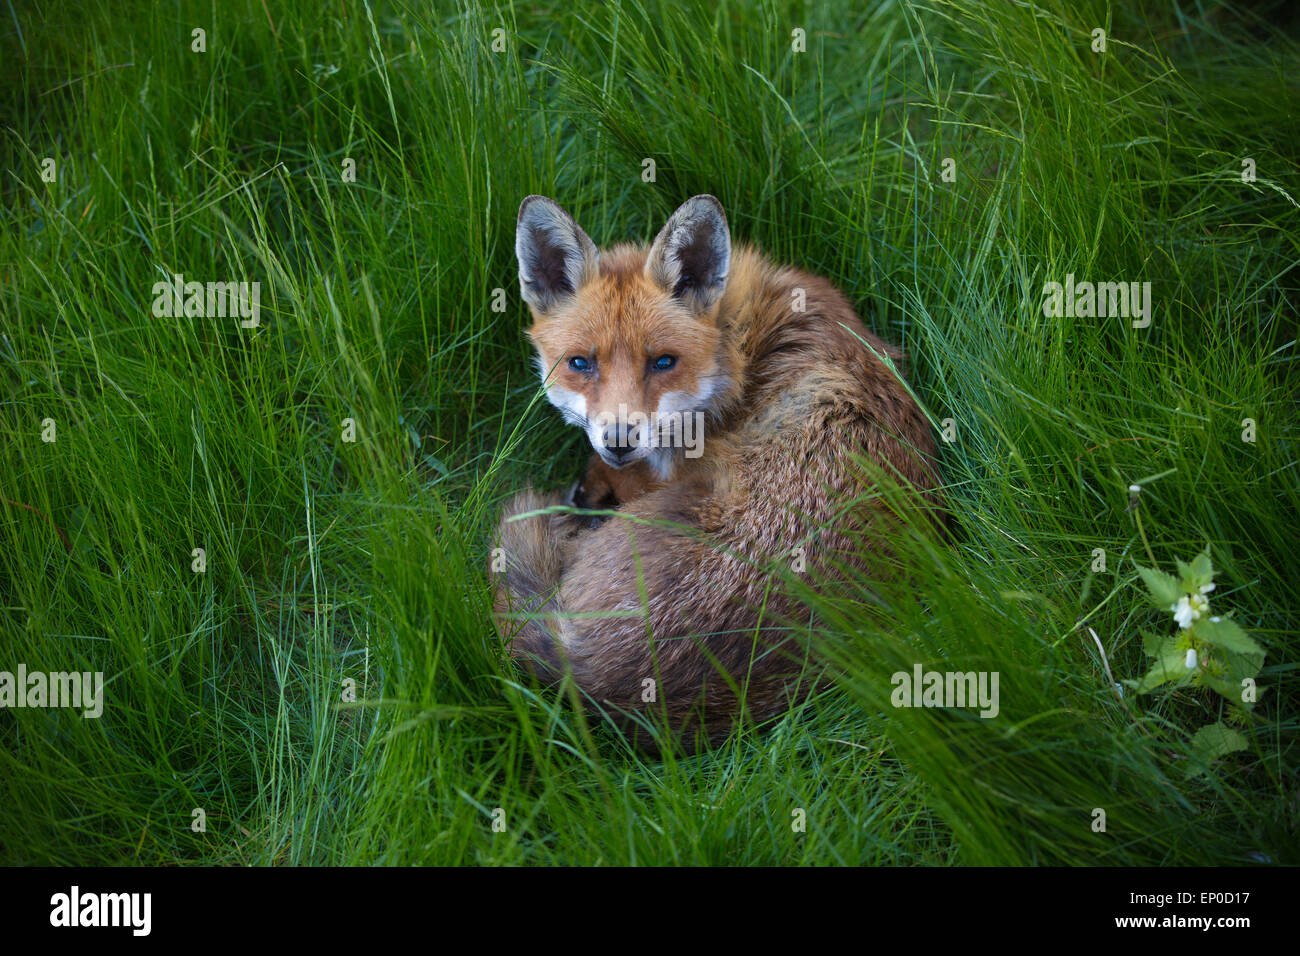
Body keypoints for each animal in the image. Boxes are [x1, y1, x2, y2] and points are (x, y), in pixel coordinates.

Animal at [493, 194, 943, 752]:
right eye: (581, 363)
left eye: (663, 362)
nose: (619, 439)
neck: (740, 342)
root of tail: (592, 672)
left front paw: (592, 483)